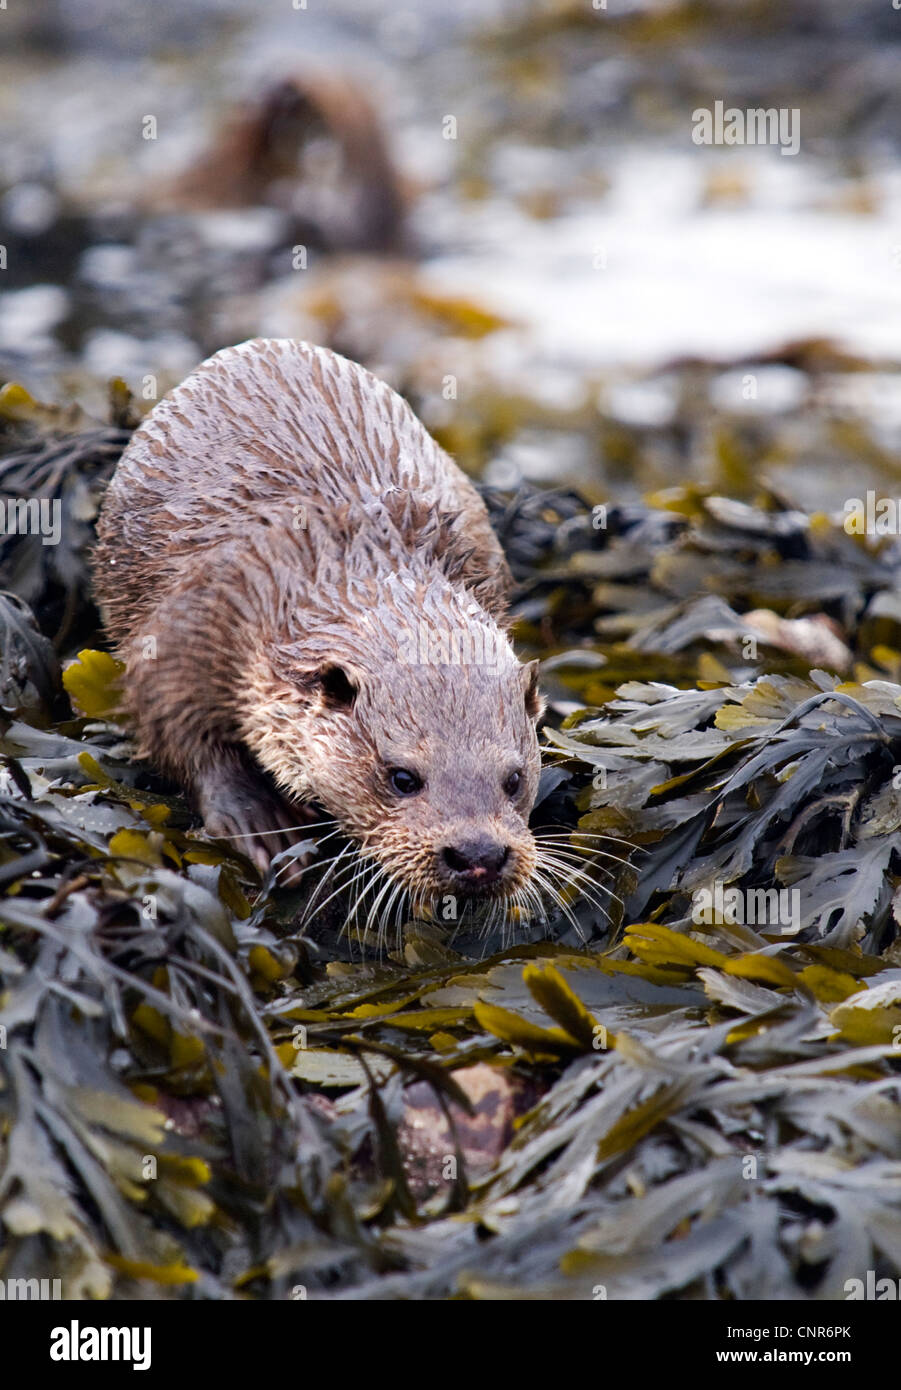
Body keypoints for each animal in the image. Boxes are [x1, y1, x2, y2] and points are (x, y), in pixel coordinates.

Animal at [92, 338, 546, 925]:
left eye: (514, 779)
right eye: (402, 777)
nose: (478, 854)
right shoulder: (185, 628)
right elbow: (177, 729)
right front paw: (258, 822)